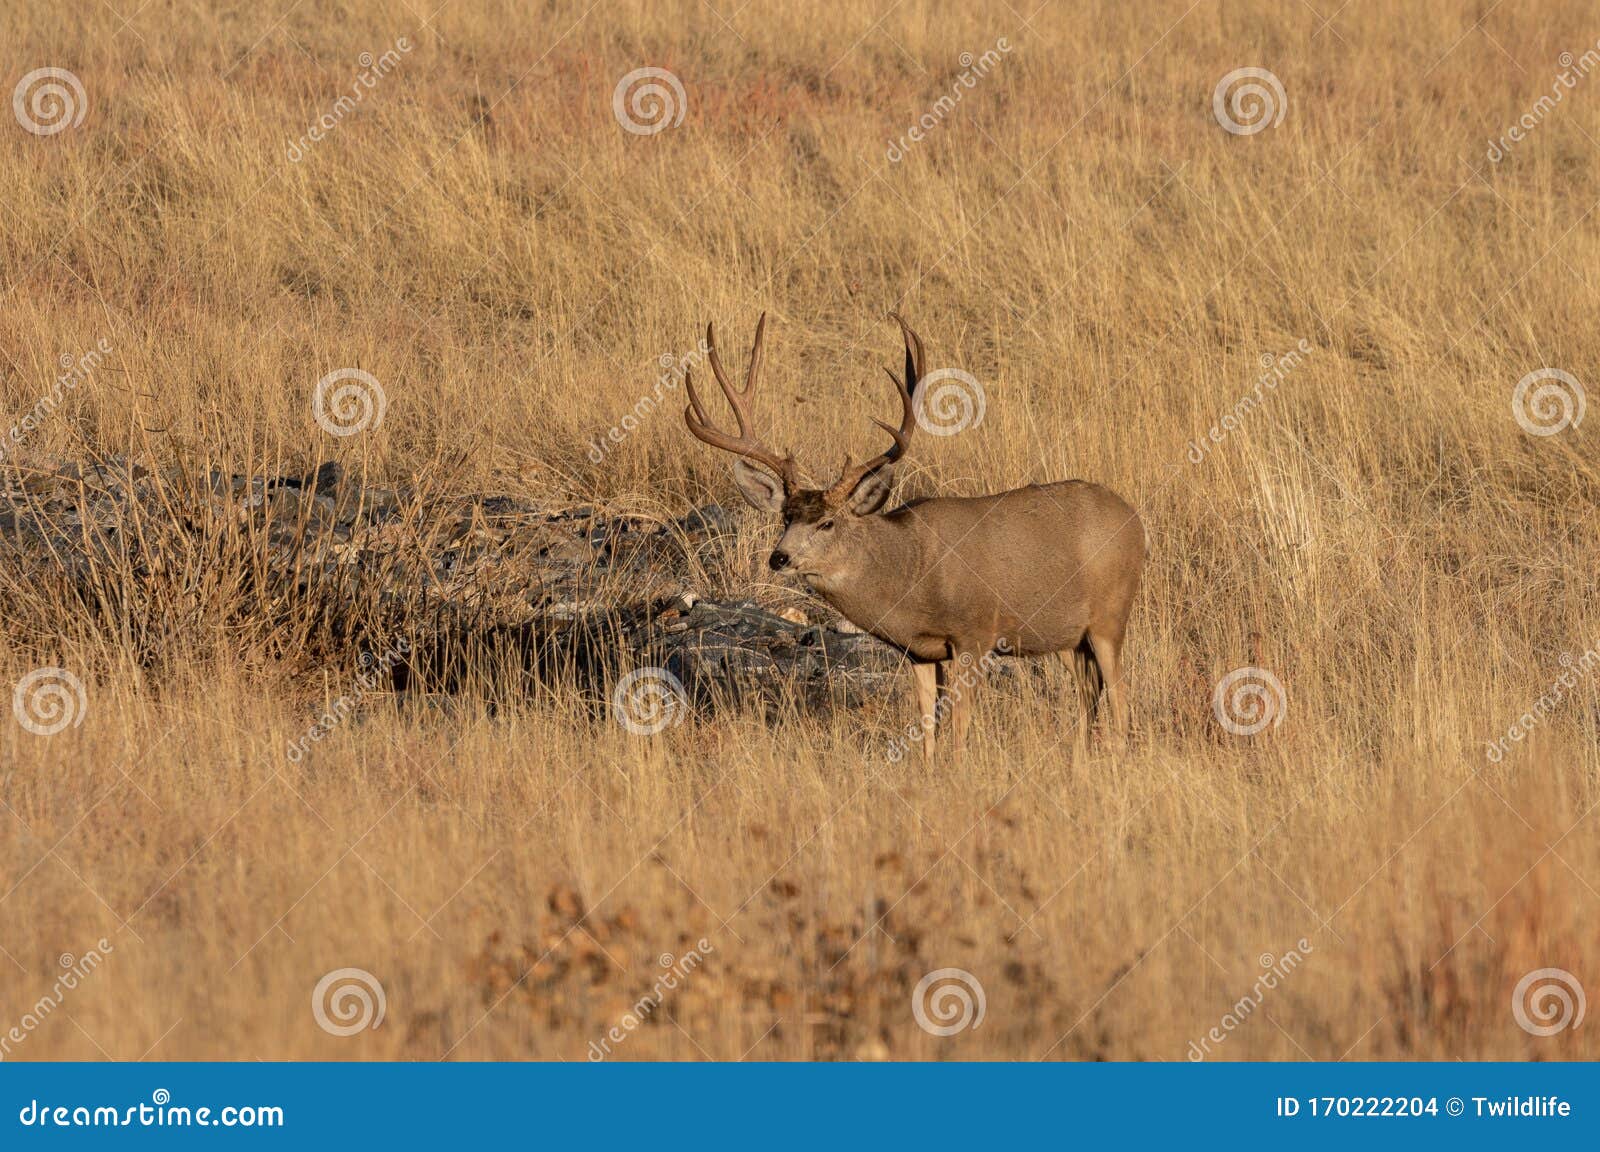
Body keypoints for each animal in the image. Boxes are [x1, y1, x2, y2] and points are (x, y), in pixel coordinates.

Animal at [681, 312, 1144, 760]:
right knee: (1090, 699)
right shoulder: (918, 650)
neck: (912, 573)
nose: (779, 557)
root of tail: (1135, 521)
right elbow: (927, 727)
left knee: (1121, 698)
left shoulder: (975, 633)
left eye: (827, 523)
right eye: (786, 518)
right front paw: (929, 769)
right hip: (1069, 640)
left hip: (1110, 615)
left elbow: (958, 727)